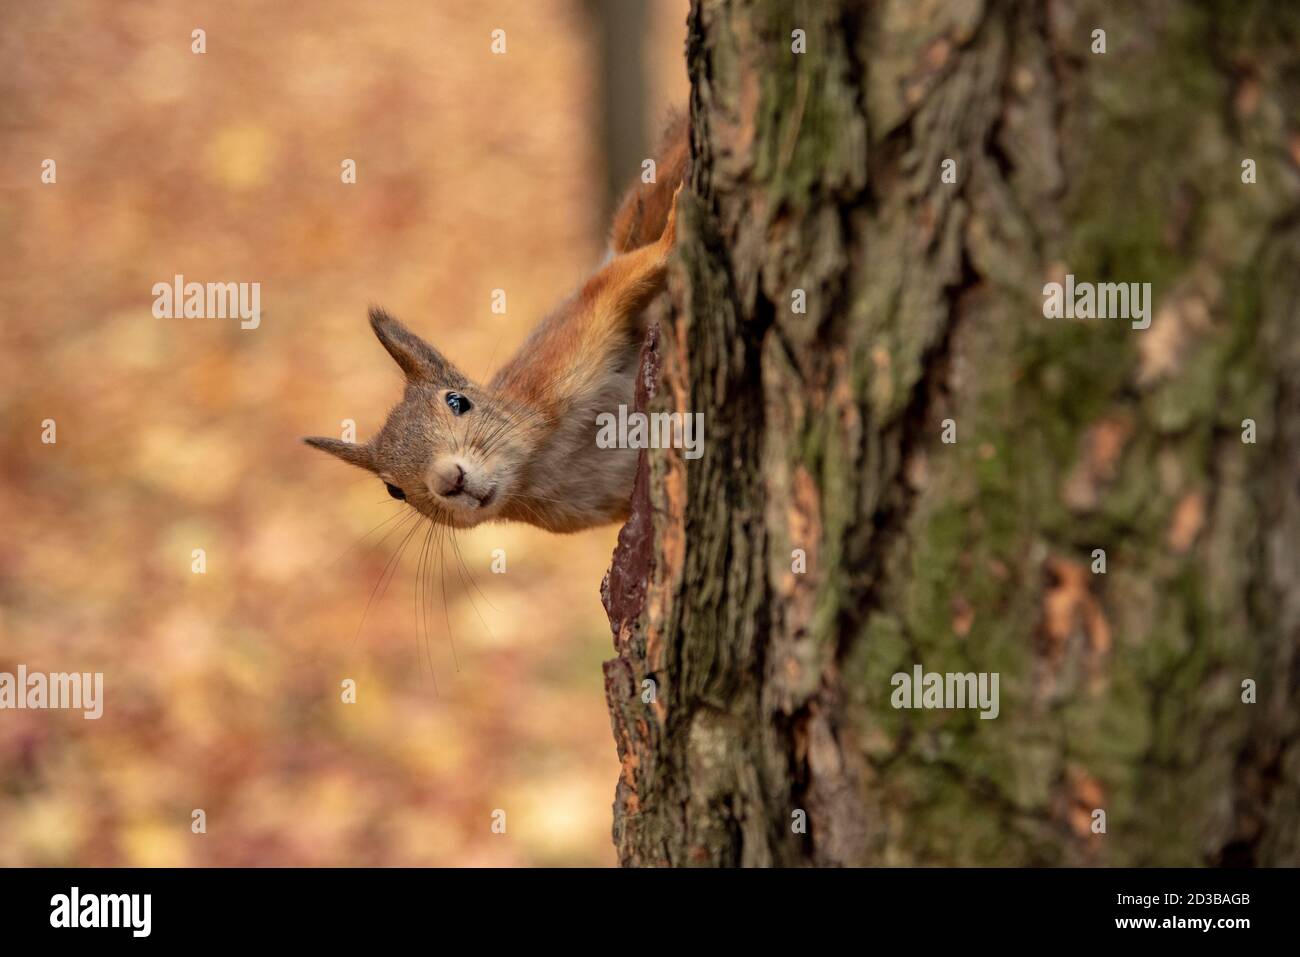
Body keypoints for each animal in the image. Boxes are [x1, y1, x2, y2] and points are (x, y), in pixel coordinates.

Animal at [306, 111, 689, 533]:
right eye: (394, 490)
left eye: (457, 401)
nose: (448, 480)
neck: (537, 469)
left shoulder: (564, 349)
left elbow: (620, 277)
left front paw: (675, 227)